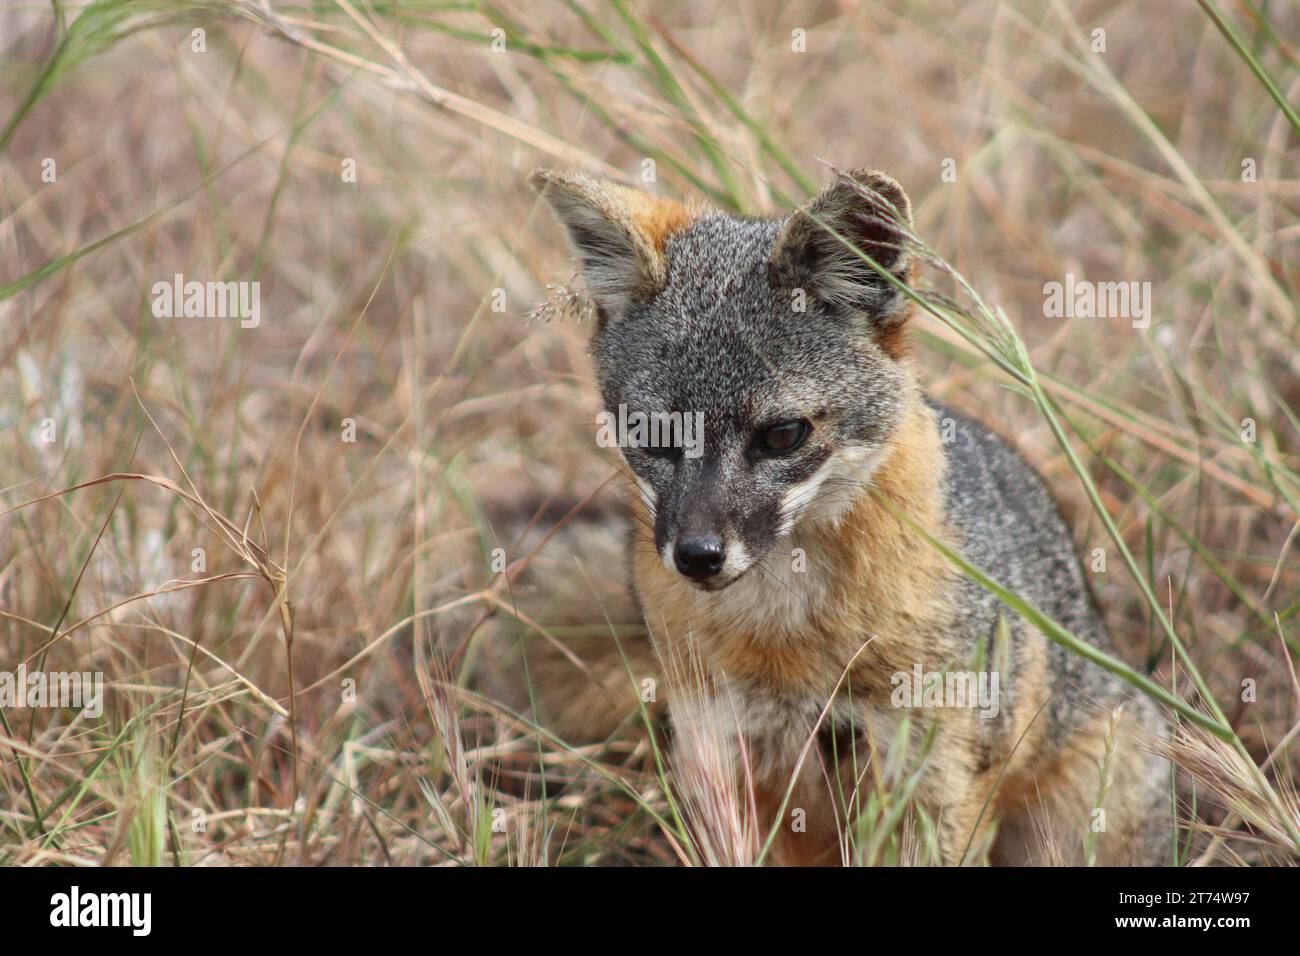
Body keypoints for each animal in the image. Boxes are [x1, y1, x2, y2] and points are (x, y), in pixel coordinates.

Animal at [524, 165, 1169, 866]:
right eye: (653, 434)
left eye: (782, 435)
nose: (697, 556)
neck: (784, 636)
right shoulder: (720, 749)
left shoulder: (933, 768)